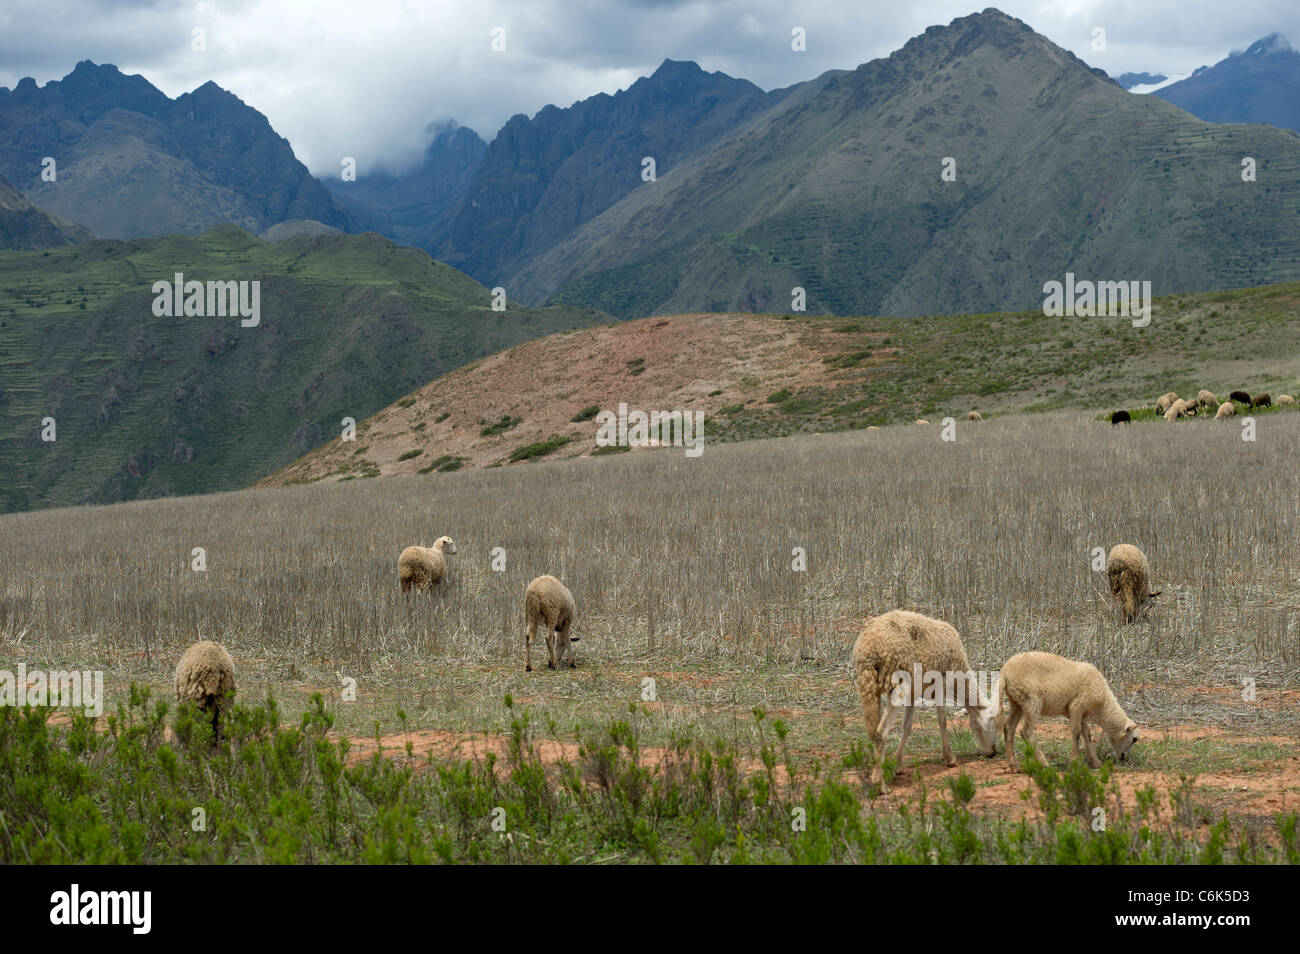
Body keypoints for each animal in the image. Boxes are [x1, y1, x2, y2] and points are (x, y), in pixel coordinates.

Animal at [852, 610, 997, 790]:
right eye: (994, 723)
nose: (993, 753)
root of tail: (870, 650)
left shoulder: (913, 694)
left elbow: (906, 727)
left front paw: (898, 765)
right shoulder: (940, 683)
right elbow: (942, 721)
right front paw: (949, 758)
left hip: (869, 685)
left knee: (874, 729)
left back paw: (875, 773)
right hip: (899, 683)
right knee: (881, 731)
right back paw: (880, 784)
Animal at [996, 651, 1139, 772]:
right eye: (1134, 739)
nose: (1124, 758)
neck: (1103, 705)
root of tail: (1004, 672)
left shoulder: (1075, 712)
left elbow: (1086, 733)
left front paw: (1096, 762)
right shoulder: (1077, 706)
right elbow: (1076, 732)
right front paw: (1075, 761)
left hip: (1017, 702)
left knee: (1008, 728)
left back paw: (1014, 766)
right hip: (1032, 700)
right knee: (1025, 731)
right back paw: (1044, 764)